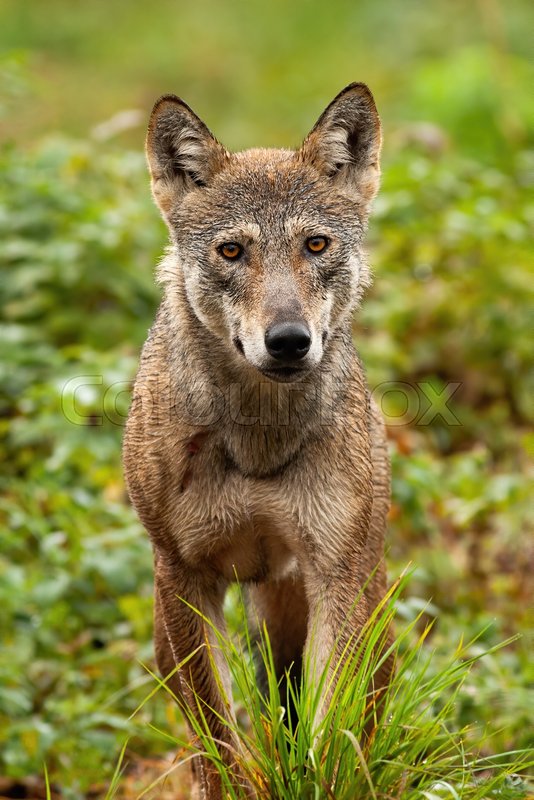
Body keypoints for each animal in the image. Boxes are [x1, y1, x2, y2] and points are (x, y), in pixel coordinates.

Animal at [123, 83, 393, 799]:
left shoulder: (336, 575)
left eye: (316, 245)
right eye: (231, 253)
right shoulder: (183, 574)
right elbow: (217, 734)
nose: (290, 340)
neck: (258, 445)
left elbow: (329, 731)